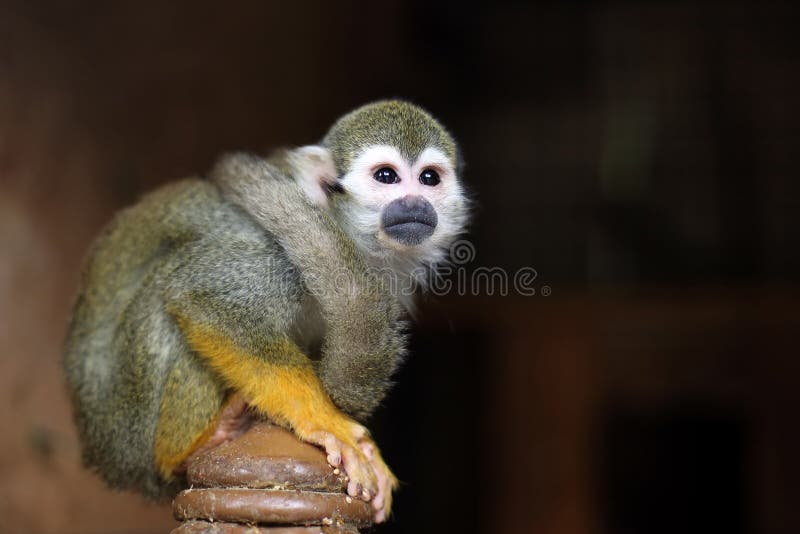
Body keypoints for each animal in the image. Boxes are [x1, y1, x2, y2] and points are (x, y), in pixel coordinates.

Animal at [63, 100, 469, 523]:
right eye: (386, 176)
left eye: (428, 178)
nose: (415, 203)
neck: (348, 238)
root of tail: (106, 459)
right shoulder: (276, 255)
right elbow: (202, 296)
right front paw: (324, 420)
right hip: (130, 421)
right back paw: (186, 450)